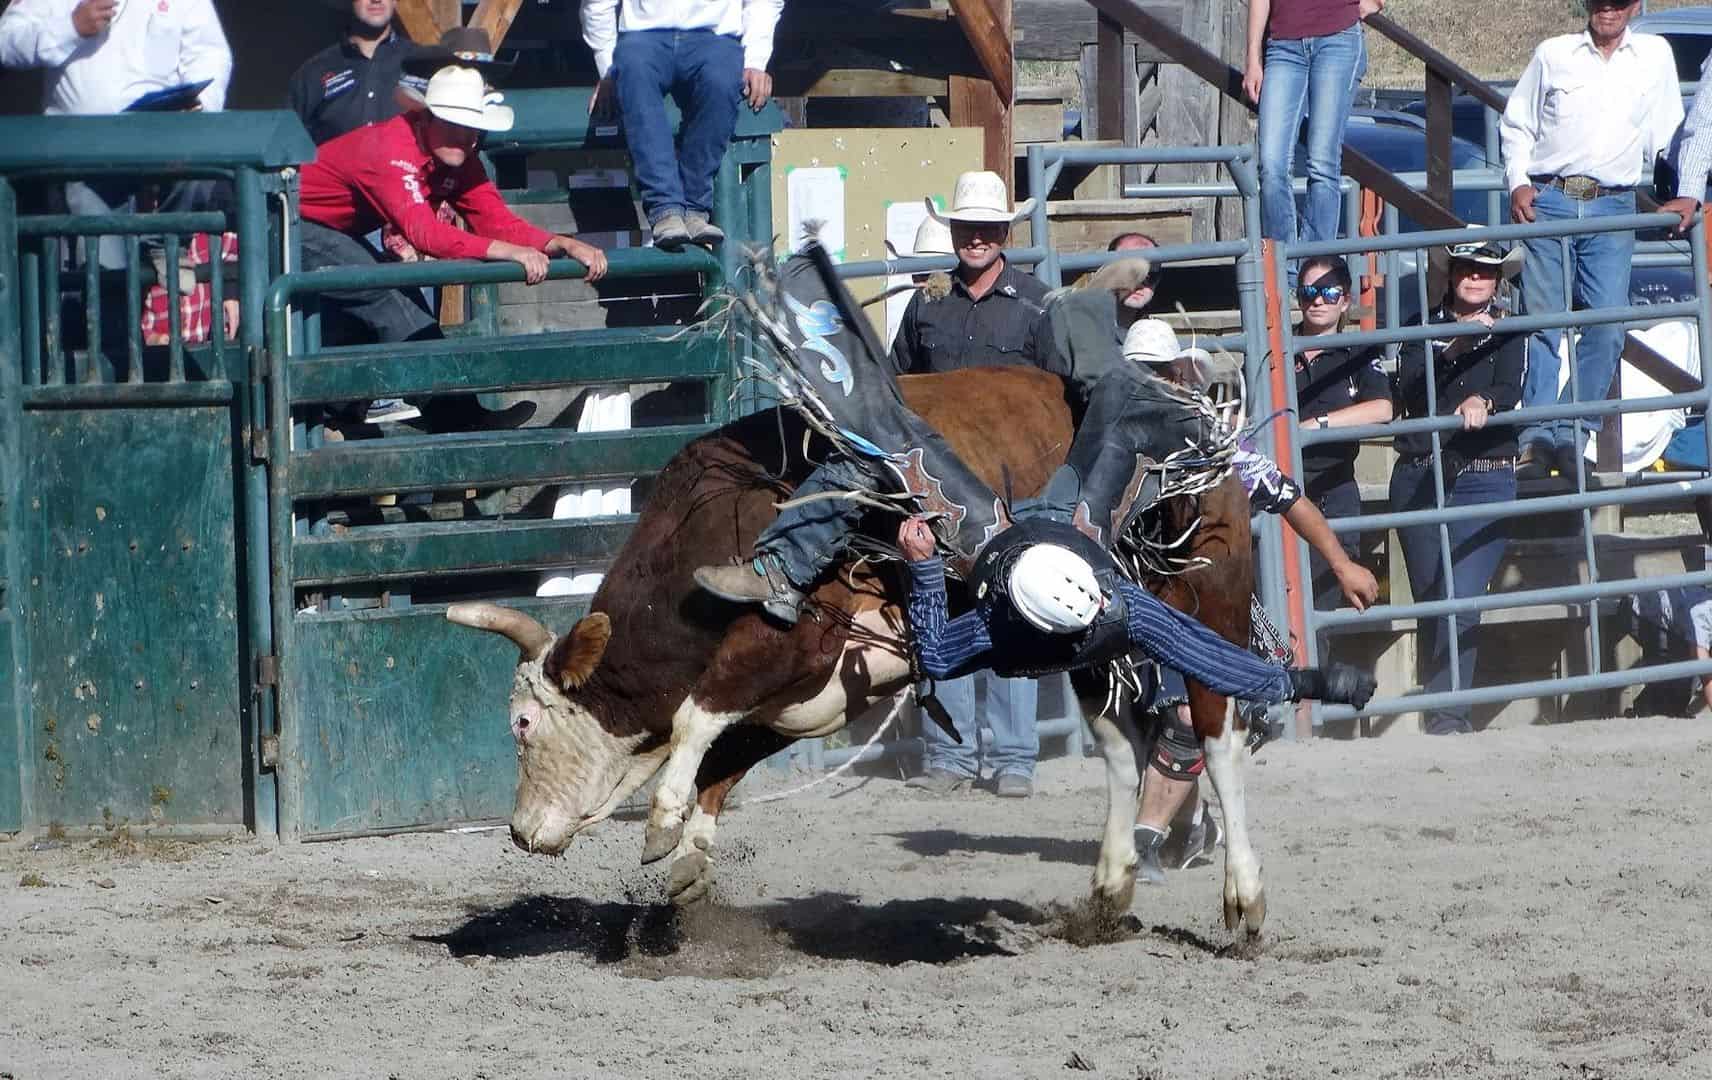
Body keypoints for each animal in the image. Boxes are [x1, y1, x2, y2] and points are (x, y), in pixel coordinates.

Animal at [448, 365, 1266, 934]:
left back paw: (1244, 897)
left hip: (1211, 600)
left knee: (1217, 737)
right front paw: (690, 860)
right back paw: (1110, 886)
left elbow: (694, 721)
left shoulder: (788, 652)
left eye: (523, 724)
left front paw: (663, 820)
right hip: (1089, 645)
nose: (519, 831)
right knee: (1121, 749)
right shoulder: (814, 697)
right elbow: (723, 757)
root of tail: (1203, 426)